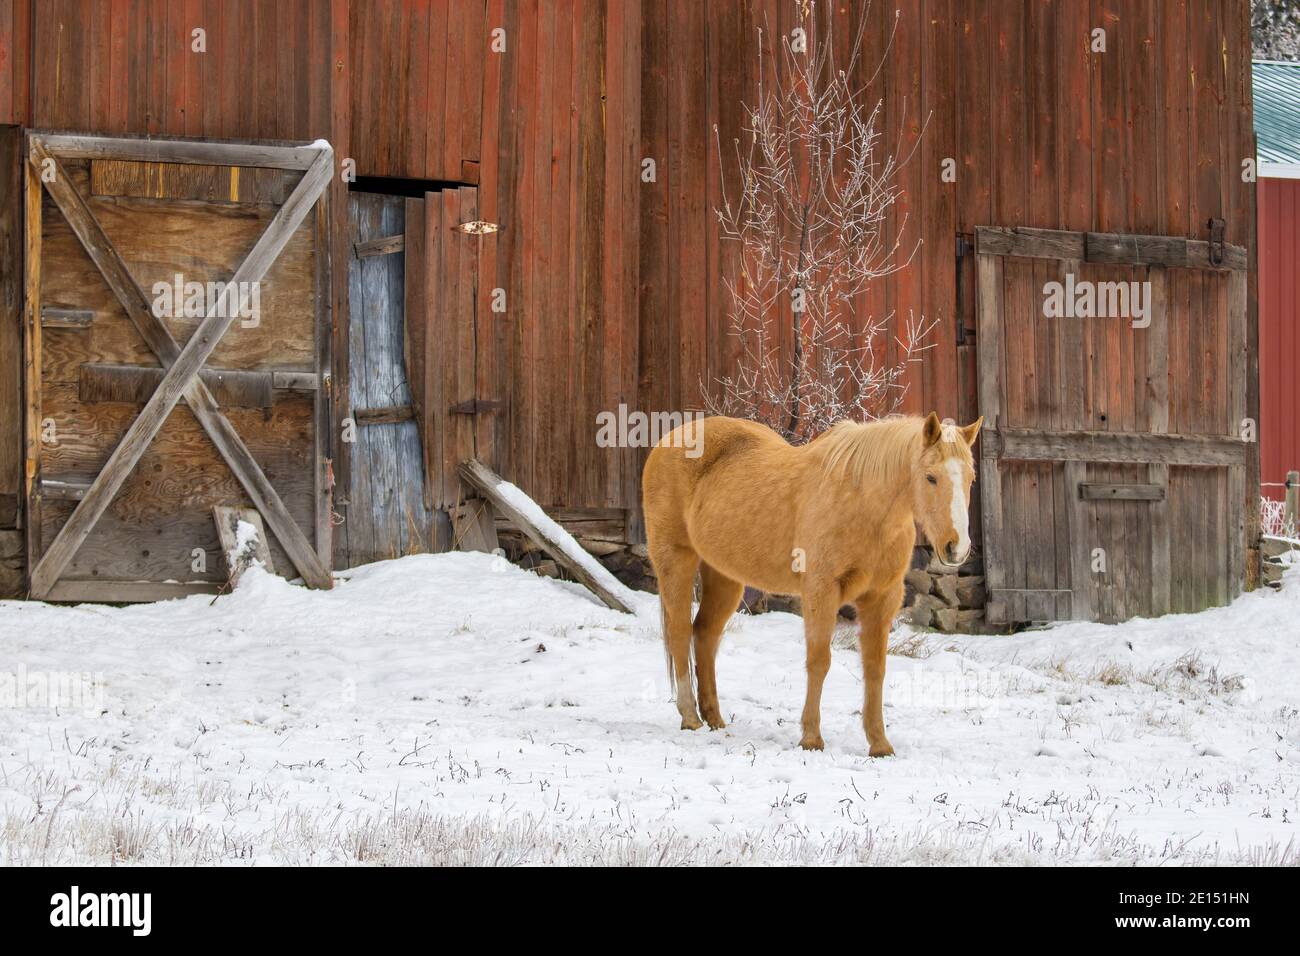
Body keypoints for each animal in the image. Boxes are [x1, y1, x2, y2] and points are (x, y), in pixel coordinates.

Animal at [641, 412, 982, 756]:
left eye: (971, 479)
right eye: (931, 477)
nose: (957, 547)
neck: (863, 504)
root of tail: (671, 439)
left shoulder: (883, 598)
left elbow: (875, 667)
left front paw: (879, 743)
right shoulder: (821, 591)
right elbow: (819, 661)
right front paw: (811, 738)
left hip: (724, 575)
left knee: (706, 634)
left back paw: (714, 717)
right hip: (676, 559)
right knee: (680, 633)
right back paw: (690, 716)